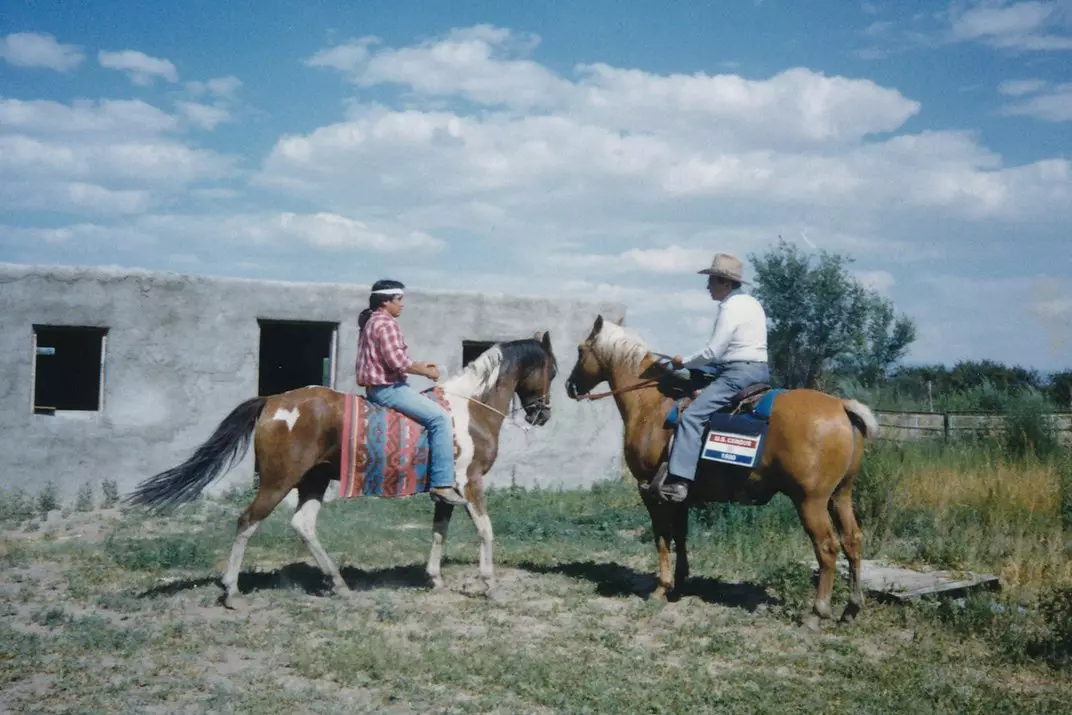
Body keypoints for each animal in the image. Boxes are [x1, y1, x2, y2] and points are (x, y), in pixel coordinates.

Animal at [124, 332, 557, 608]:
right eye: (551, 369)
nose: (543, 415)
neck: (470, 408)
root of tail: (271, 401)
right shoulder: (471, 484)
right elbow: (486, 530)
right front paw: (490, 586)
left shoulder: (446, 493)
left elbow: (439, 531)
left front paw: (434, 578)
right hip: (277, 481)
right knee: (247, 521)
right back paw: (231, 592)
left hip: (312, 481)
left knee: (303, 524)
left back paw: (338, 583)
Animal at [561, 315, 879, 630]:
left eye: (580, 350)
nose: (570, 386)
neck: (650, 404)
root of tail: (842, 406)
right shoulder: (679, 495)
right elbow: (680, 535)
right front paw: (680, 581)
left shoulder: (649, 491)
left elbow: (662, 537)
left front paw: (662, 588)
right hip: (841, 495)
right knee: (852, 541)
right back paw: (852, 607)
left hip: (810, 501)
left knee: (827, 547)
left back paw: (817, 612)